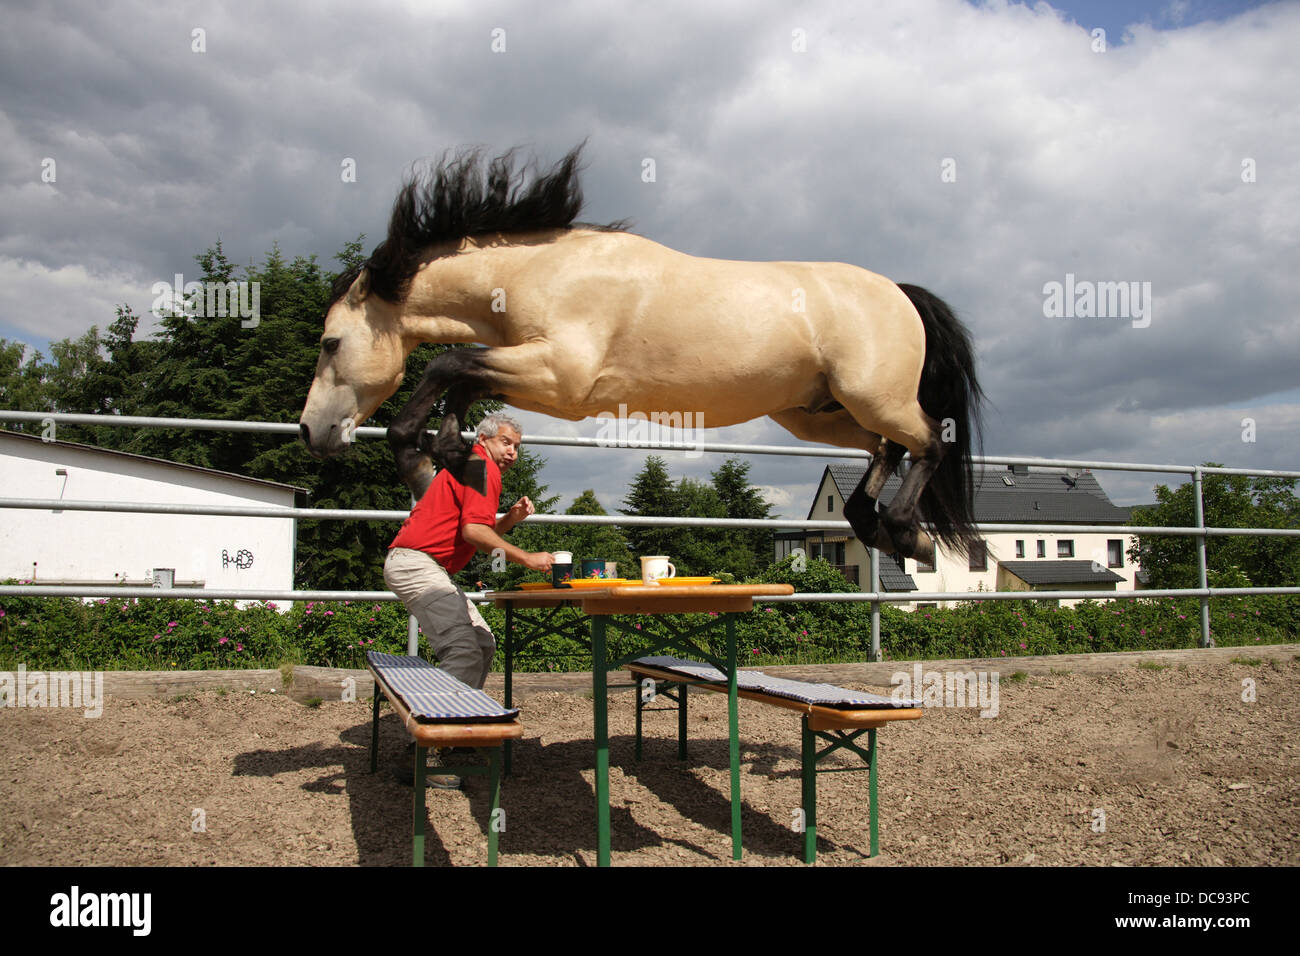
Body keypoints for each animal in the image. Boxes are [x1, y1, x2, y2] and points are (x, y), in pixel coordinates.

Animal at [299, 145, 984, 564]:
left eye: (331, 343)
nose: (311, 431)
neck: (538, 269)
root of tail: (900, 291)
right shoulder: (543, 377)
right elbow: (463, 383)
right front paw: (449, 460)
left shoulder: (561, 377)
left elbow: (448, 366)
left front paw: (419, 462)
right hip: (815, 414)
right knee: (885, 447)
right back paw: (872, 522)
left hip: (871, 396)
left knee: (929, 440)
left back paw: (907, 536)